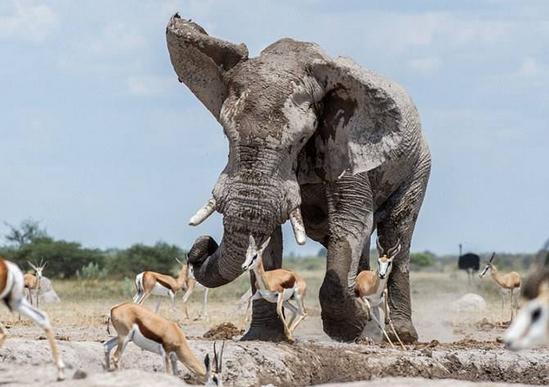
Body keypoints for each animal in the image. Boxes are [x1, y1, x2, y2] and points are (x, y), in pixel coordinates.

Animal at [165, 13, 430, 344]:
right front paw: (263, 337)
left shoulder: (344, 142)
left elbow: (351, 220)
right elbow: (269, 236)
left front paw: (350, 325)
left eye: (302, 138)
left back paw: (399, 334)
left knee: (397, 233)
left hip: (418, 165)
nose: (203, 244)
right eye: (226, 132)